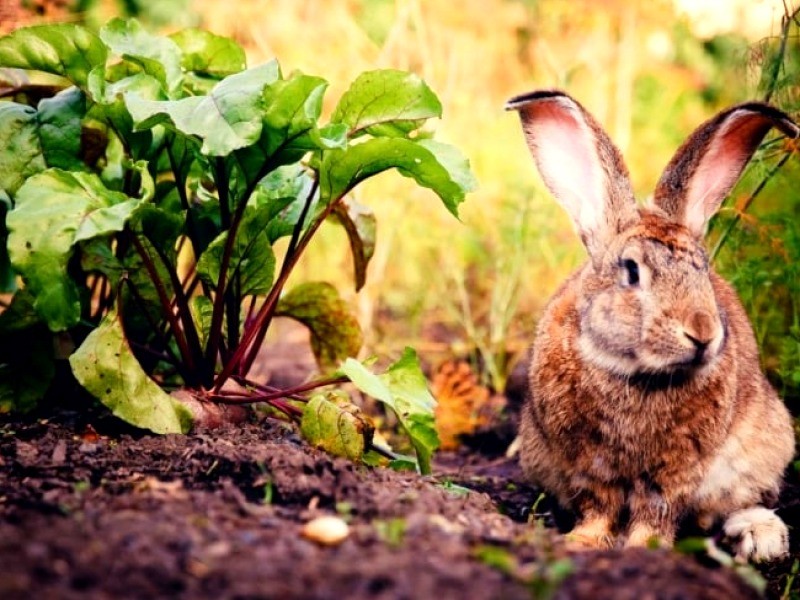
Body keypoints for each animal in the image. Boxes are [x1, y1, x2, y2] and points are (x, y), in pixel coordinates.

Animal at [506, 89, 799, 562]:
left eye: (703, 269)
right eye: (631, 271)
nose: (702, 334)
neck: (635, 372)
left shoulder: (677, 468)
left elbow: (657, 508)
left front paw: (645, 549)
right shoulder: (588, 464)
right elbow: (599, 505)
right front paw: (584, 542)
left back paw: (760, 538)